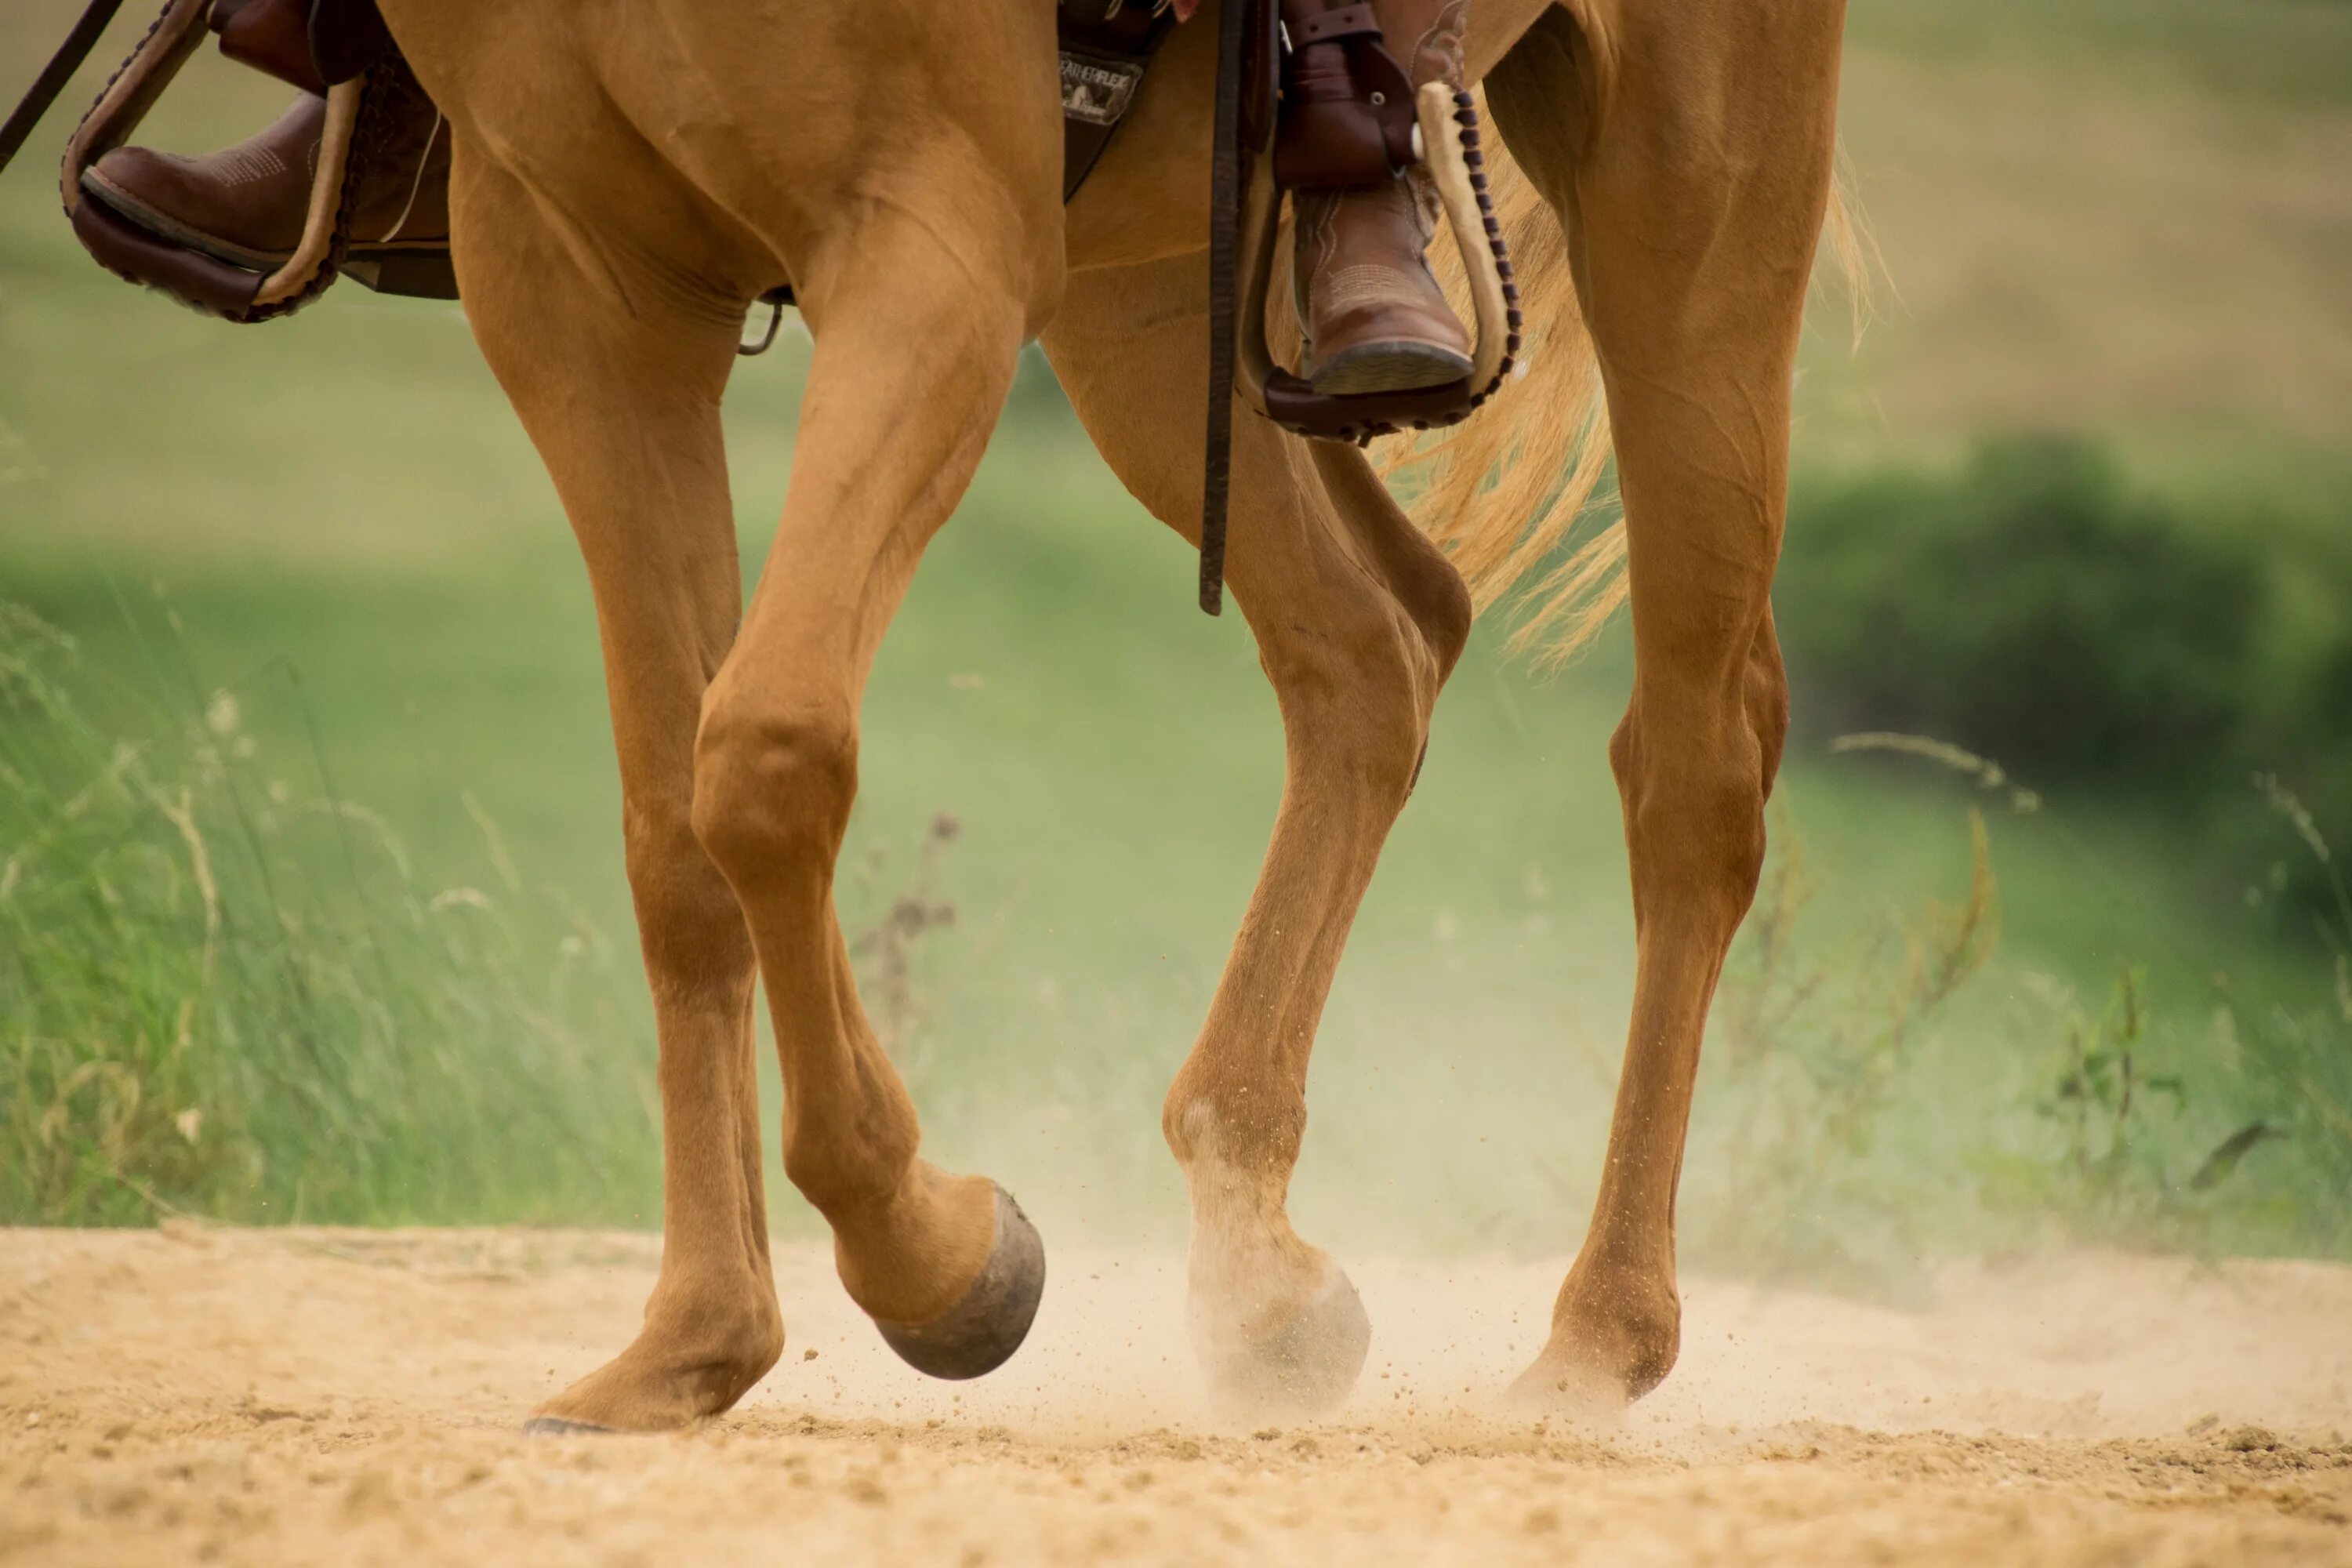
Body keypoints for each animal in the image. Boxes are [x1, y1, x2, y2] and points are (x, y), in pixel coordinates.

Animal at [353, 0, 1853, 1429]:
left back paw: (1599, 1337)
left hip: (1690, 205)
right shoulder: (572, 276)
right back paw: (1259, 1273)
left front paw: (934, 1258)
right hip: (1161, 289)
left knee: (1694, 773)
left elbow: (765, 757)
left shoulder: (932, 245)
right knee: (1381, 642)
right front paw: (696, 1342)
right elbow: (676, 830)